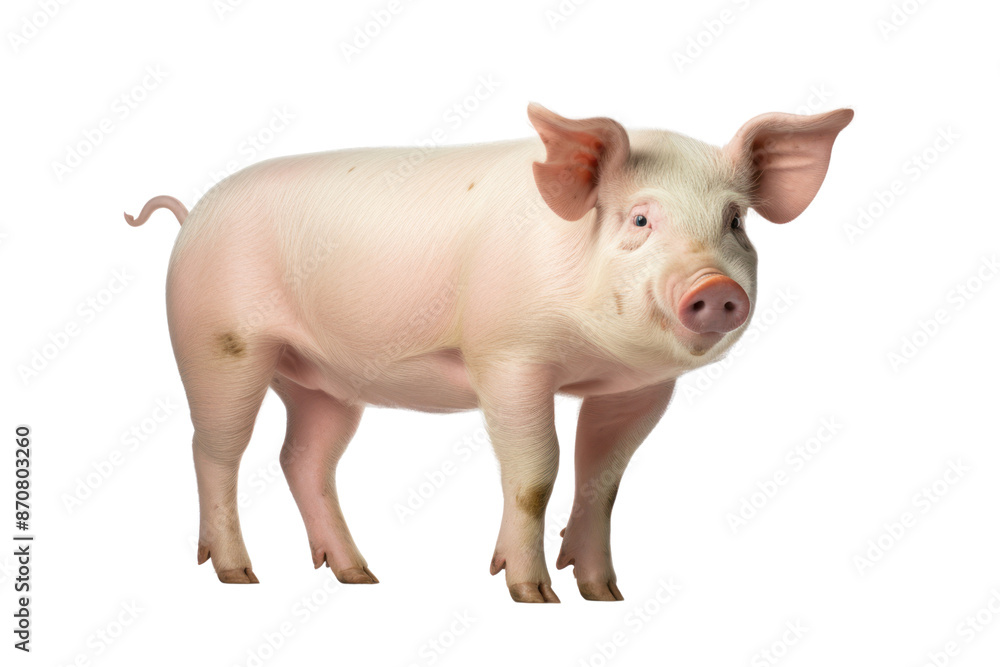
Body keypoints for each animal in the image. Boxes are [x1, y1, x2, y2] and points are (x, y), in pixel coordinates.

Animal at [125, 103, 852, 603]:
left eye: (735, 221)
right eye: (641, 219)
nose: (717, 289)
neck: (590, 356)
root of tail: (191, 216)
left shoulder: (638, 387)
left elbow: (604, 479)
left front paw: (605, 593)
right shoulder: (507, 356)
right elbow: (536, 472)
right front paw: (534, 595)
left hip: (322, 380)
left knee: (301, 458)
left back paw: (361, 577)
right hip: (217, 342)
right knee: (216, 449)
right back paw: (239, 574)